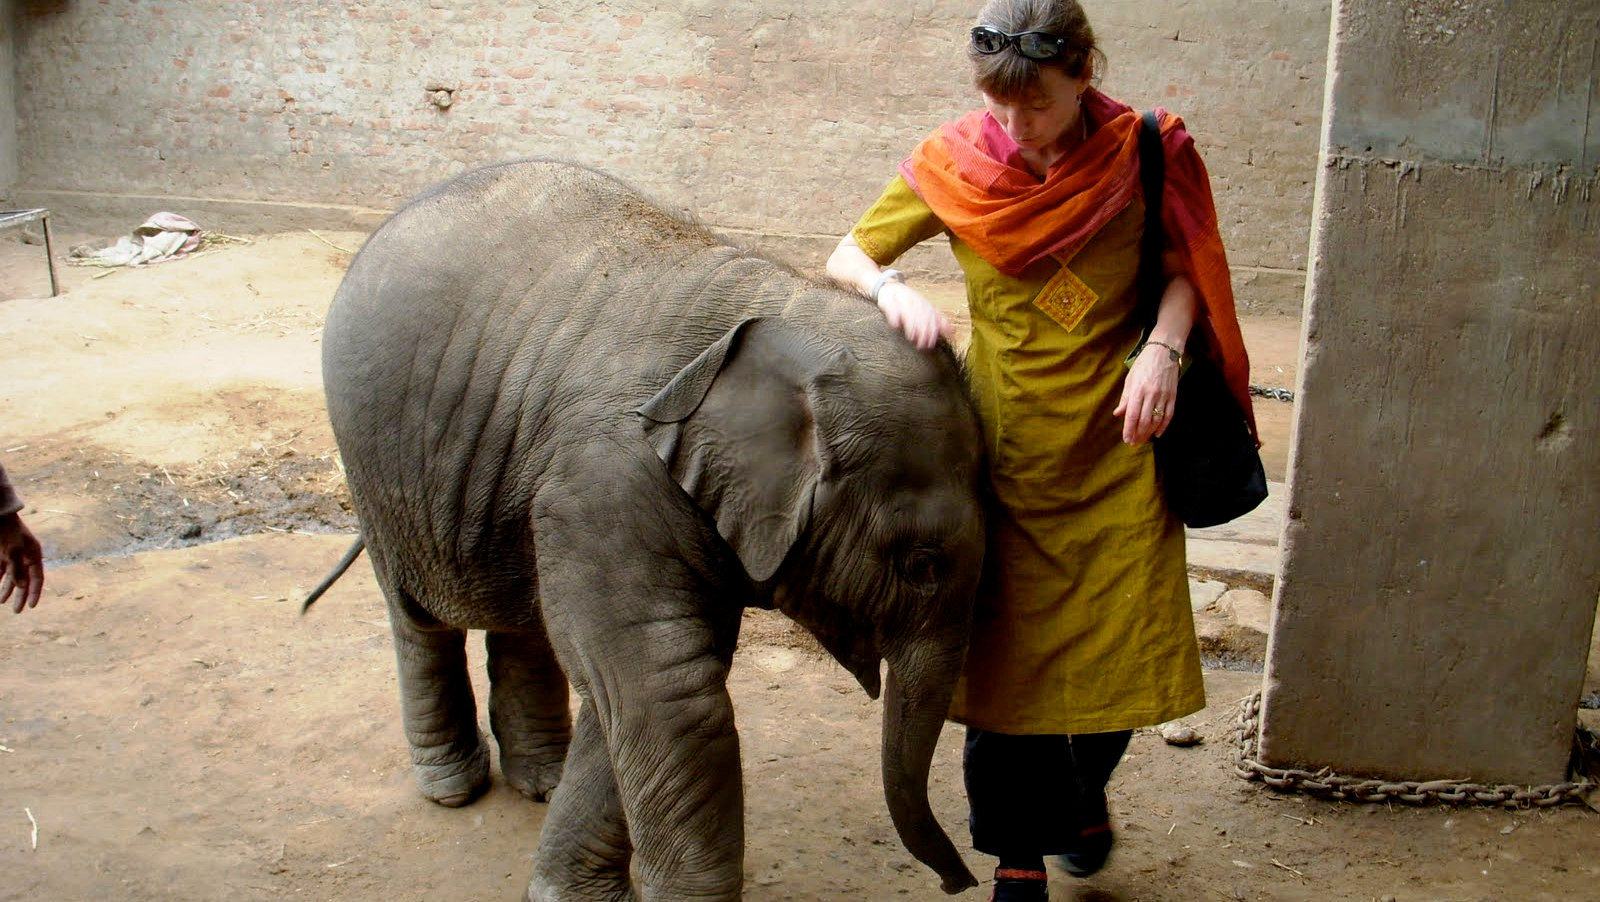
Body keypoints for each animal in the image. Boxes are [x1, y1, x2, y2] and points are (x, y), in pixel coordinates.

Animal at [312, 159, 987, 900]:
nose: (960, 881)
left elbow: (630, 692)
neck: (780, 305)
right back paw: (454, 789)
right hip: (373, 454)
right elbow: (669, 694)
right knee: (419, 615)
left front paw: (567, 894)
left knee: (522, 616)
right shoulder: (610, 480)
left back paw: (541, 782)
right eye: (921, 563)